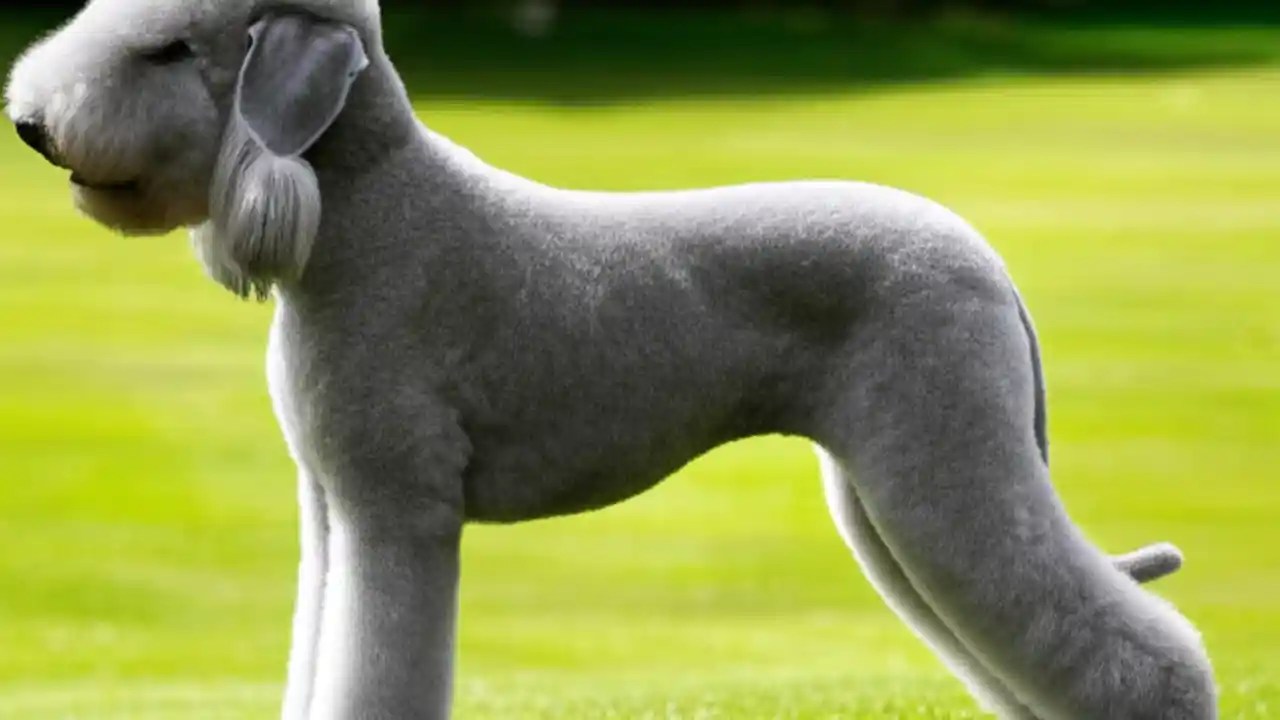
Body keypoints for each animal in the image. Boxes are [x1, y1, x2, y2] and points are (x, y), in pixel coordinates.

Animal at [5, 1, 1217, 718]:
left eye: (170, 47)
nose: (32, 126)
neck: (371, 204)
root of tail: (988, 263)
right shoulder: (331, 506)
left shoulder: (397, 504)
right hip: (889, 484)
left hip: (942, 440)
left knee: (1131, 646)